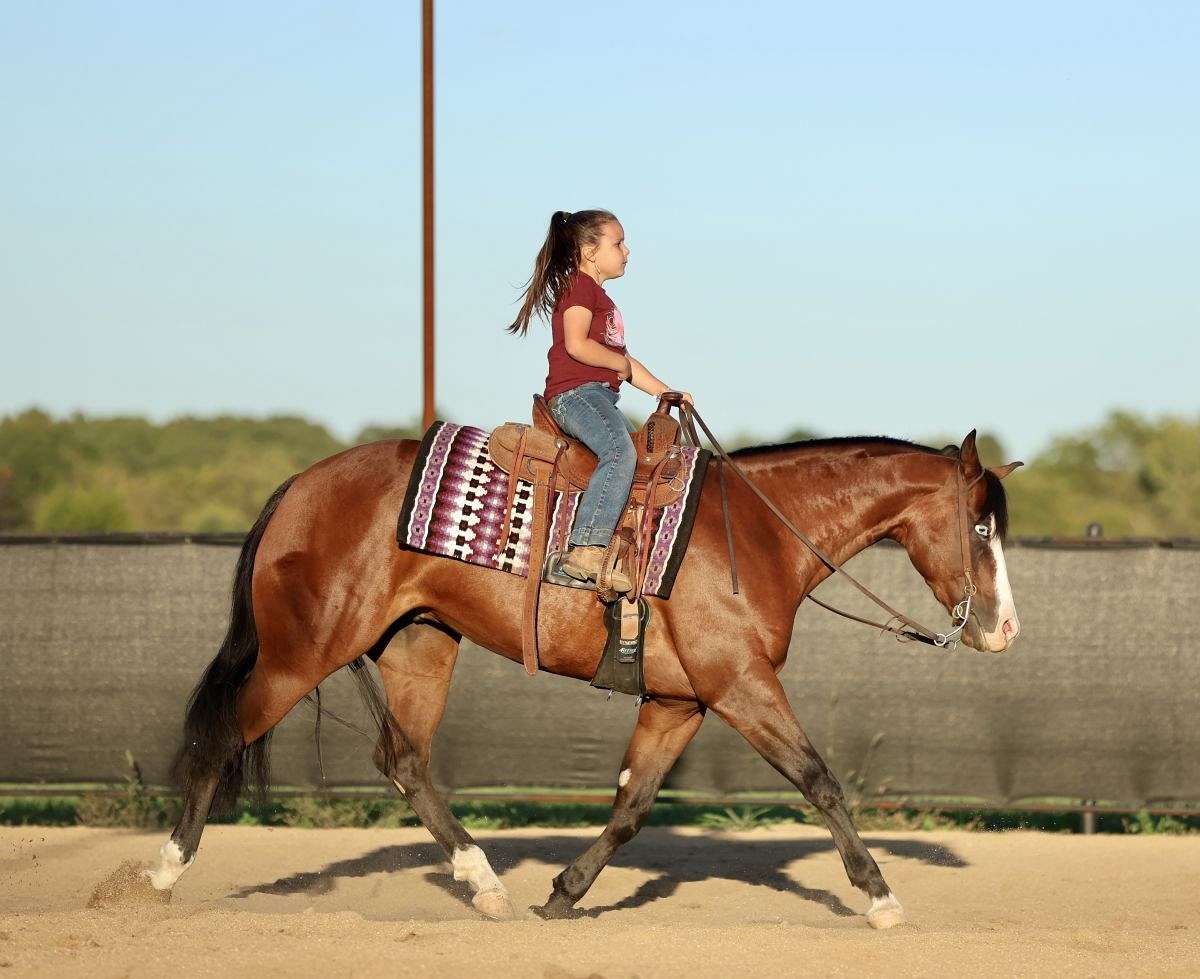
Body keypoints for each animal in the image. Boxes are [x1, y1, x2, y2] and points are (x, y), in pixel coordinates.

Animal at [145, 423, 1021, 930]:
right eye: (980, 527)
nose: (1004, 628)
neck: (759, 533)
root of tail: (301, 485)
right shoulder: (740, 684)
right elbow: (819, 778)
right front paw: (879, 895)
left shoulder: (679, 701)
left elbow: (632, 805)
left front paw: (563, 893)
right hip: (301, 652)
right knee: (222, 737)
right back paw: (160, 873)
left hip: (419, 645)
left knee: (405, 761)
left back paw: (485, 882)